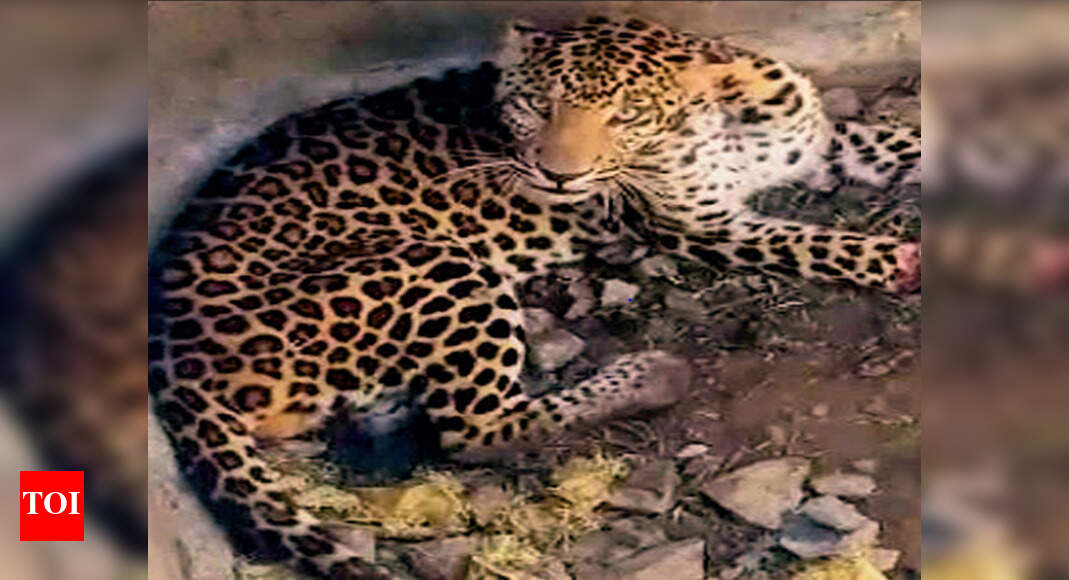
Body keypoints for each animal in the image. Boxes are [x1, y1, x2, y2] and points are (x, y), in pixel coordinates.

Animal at [148, 16, 921, 579]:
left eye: (625, 114)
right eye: (533, 107)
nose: (557, 175)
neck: (730, 115)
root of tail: (168, 355)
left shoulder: (821, 145)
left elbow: (904, 143)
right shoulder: (699, 227)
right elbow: (816, 243)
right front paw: (900, 261)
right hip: (438, 264)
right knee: (475, 429)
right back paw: (650, 376)